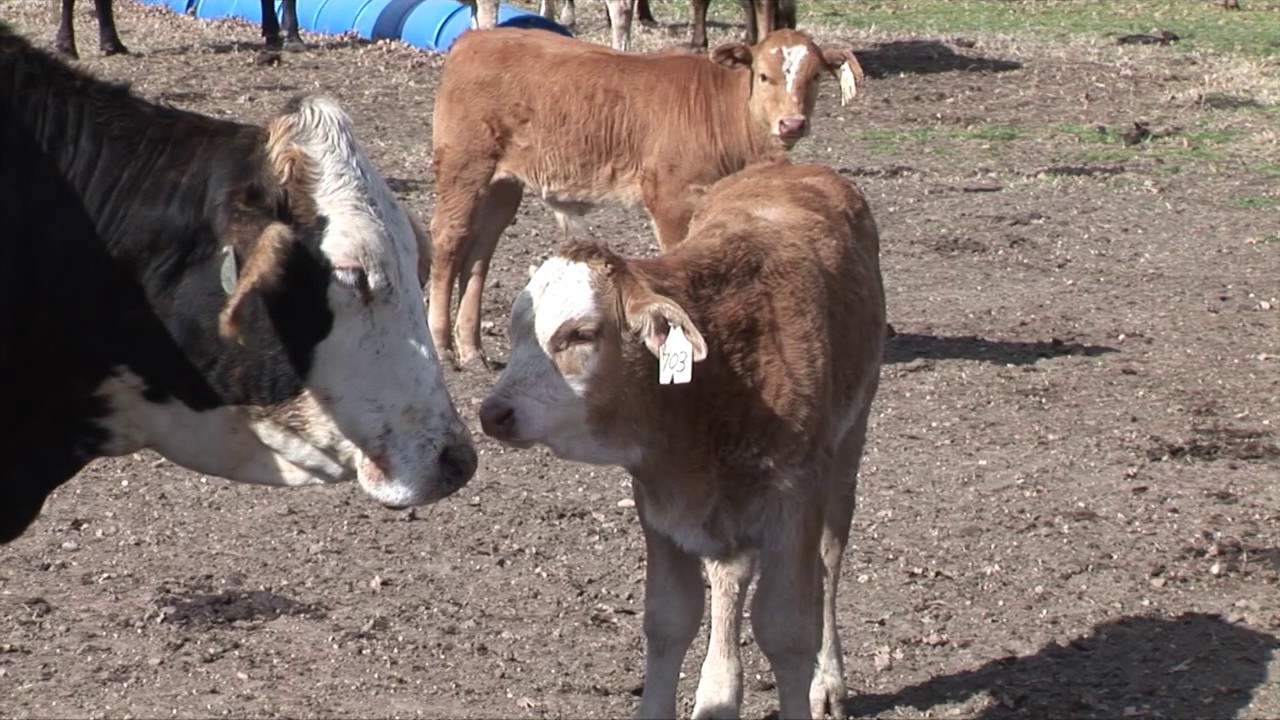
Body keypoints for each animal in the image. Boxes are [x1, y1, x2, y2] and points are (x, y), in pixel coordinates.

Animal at [428, 26, 865, 369]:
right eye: (763, 76)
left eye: (814, 77)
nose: (792, 123)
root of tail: (475, 39)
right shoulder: (670, 202)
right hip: (465, 166)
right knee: (449, 240)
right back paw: (442, 345)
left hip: (503, 185)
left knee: (480, 251)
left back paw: (471, 349)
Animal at [478, 160, 886, 719]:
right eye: (517, 330)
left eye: (580, 334)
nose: (493, 413)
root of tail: (794, 166)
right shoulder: (660, 499)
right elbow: (670, 618)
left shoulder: (796, 496)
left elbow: (787, 628)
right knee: (730, 576)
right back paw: (719, 690)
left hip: (849, 442)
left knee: (828, 558)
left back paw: (827, 680)